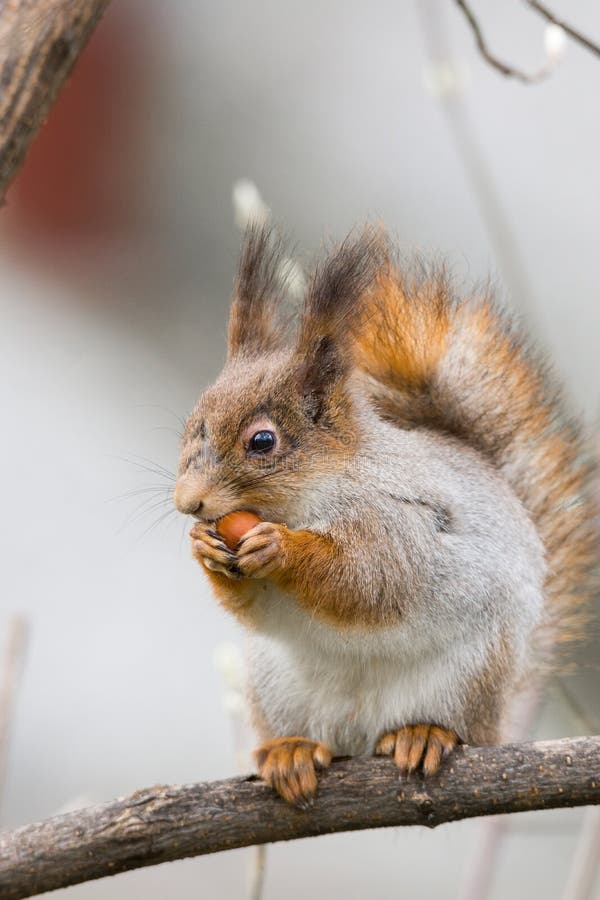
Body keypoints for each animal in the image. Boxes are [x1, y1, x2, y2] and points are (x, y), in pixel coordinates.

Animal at [174, 224, 598, 807]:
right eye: (189, 425)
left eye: (262, 441)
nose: (187, 502)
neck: (308, 497)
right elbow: (256, 608)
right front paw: (206, 550)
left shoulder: (397, 521)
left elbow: (368, 578)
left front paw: (282, 548)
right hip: (277, 688)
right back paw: (292, 752)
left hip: (465, 677)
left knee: (457, 727)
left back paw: (425, 734)